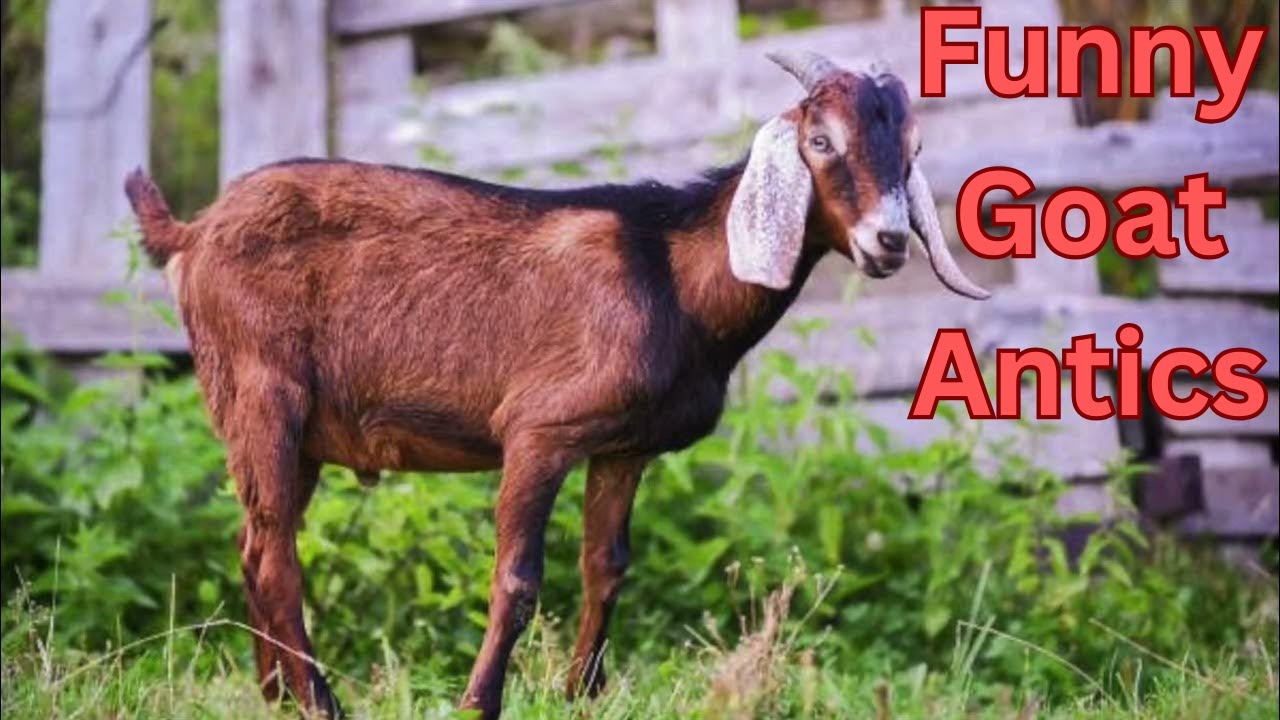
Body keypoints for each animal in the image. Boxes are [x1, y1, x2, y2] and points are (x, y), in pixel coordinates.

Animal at [124, 51, 988, 719]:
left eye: (911, 148)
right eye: (819, 139)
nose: (888, 242)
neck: (673, 274)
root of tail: (193, 231)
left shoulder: (623, 447)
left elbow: (606, 565)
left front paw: (582, 694)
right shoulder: (540, 431)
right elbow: (518, 577)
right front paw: (479, 703)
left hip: (290, 430)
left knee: (253, 542)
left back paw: (273, 696)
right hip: (261, 391)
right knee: (277, 555)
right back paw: (319, 701)